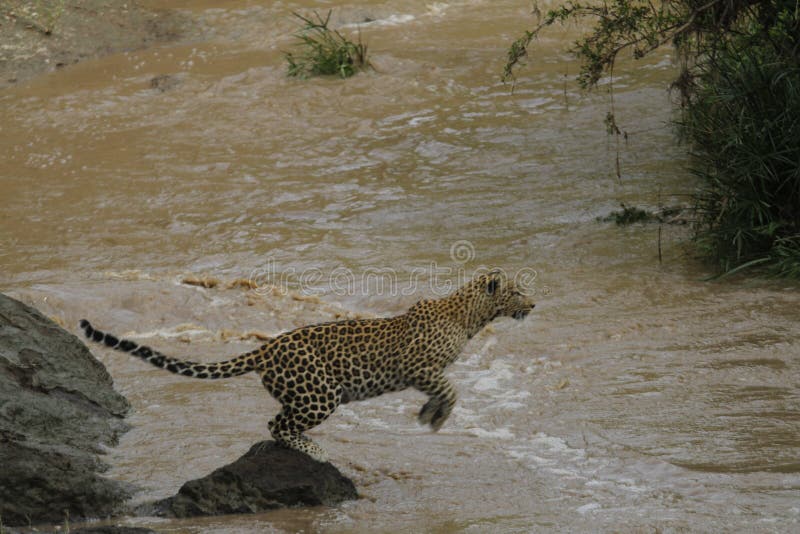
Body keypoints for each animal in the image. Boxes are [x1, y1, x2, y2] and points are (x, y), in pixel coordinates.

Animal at [80, 269, 535, 462]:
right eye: (516, 291)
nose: (533, 304)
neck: (471, 317)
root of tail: (266, 348)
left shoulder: (424, 374)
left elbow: (445, 390)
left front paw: (428, 414)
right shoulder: (418, 367)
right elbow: (452, 389)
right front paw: (435, 418)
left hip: (300, 394)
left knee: (276, 424)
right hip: (322, 393)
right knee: (278, 426)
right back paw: (316, 452)